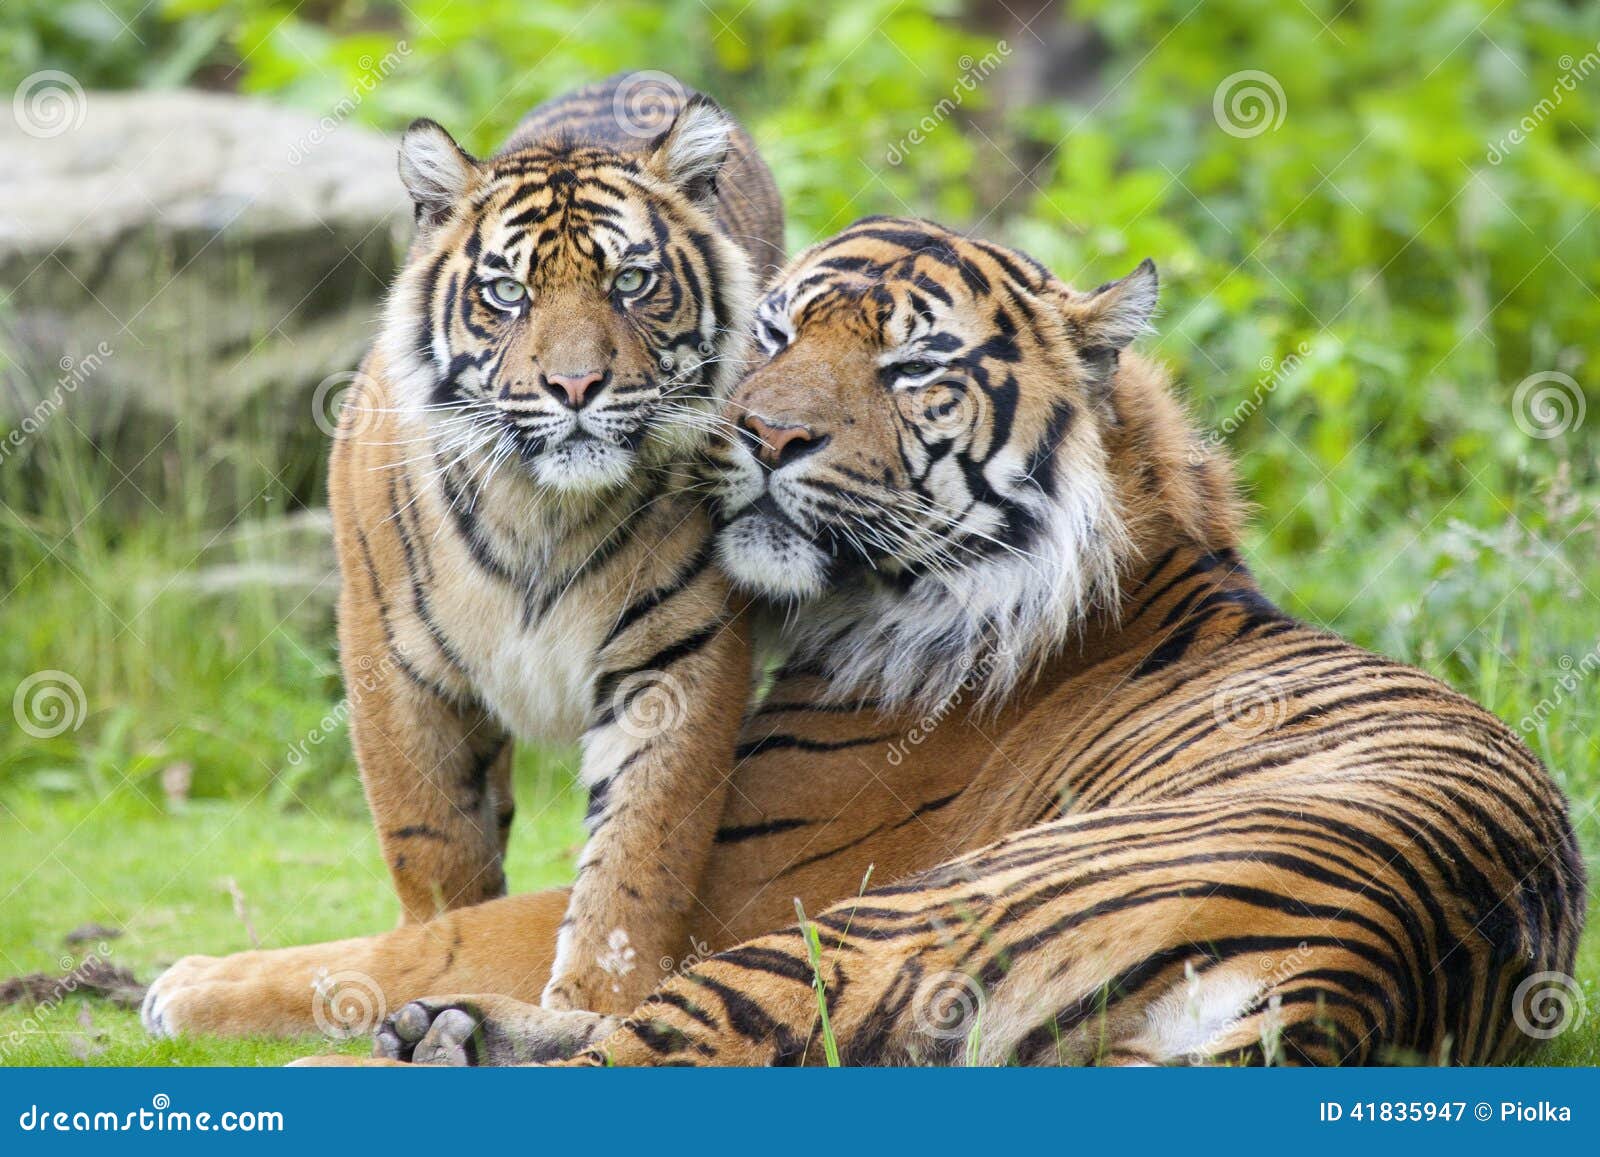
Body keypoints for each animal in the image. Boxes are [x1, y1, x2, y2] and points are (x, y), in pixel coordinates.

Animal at [140, 73, 786, 1032]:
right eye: (508, 292)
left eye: (632, 282)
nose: (576, 385)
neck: (546, 509)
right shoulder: (392, 659)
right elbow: (436, 850)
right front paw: (431, 959)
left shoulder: (679, 658)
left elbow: (640, 853)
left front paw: (597, 999)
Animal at [326, 215, 1585, 1067]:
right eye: (774, 333)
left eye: (912, 367)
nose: (762, 434)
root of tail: (1356, 973)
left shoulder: (741, 882)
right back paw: (446, 1030)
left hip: (869, 924)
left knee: (643, 1047)